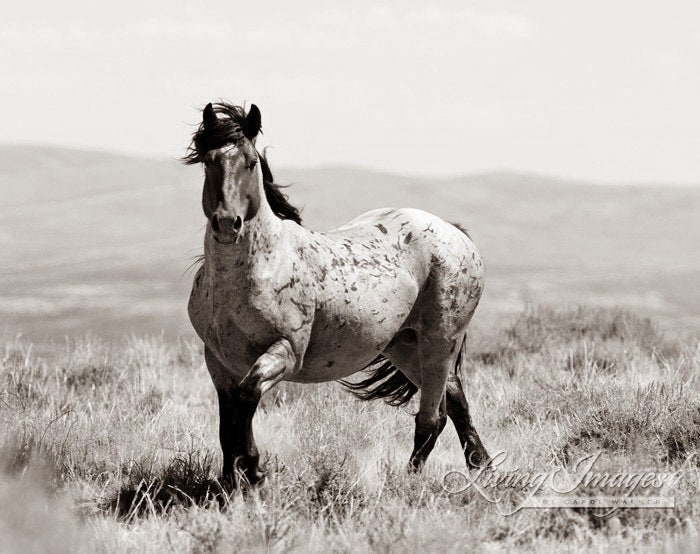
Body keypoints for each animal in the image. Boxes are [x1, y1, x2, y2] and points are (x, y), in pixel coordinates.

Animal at [185, 102, 489, 484]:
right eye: (209, 161)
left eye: (251, 162)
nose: (227, 224)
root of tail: (455, 232)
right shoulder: (217, 361)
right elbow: (228, 424)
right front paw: (230, 483)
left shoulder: (285, 352)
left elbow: (246, 397)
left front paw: (254, 471)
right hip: (404, 345)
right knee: (455, 400)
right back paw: (482, 467)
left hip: (440, 340)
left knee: (432, 418)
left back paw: (407, 482)